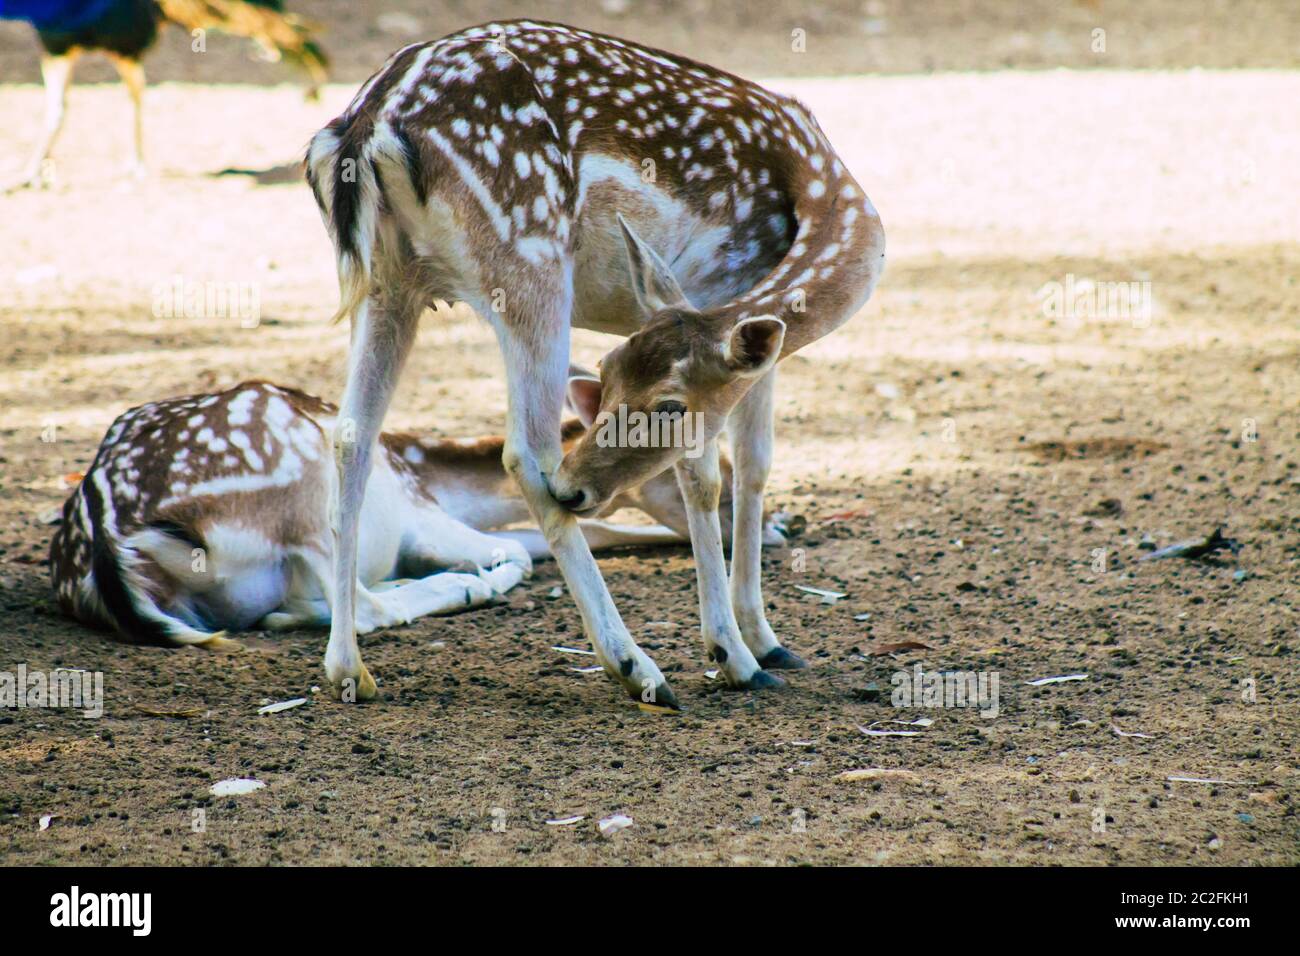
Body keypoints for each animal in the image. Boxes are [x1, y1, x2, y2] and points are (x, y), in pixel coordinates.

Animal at [49, 378, 792, 646]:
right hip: (307, 489)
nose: (777, 524)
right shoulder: (417, 508)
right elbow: (520, 549)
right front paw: (481, 577)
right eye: (690, 470)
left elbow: (583, 531)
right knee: (358, 606)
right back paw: (457, 587)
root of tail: (109, 543)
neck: (434, 472)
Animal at [305, 19, 885, 708]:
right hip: (530, 258)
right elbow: (705, 477)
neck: (820, 190)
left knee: (350, 436)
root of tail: (371, 127)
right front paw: (736, 656)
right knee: (525, 453)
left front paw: (769, 641)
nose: (579, 487)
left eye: (609, 367)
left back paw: (348, 670)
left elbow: (756, 464)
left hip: (388, 283)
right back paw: (637, 667)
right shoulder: (721, 280)